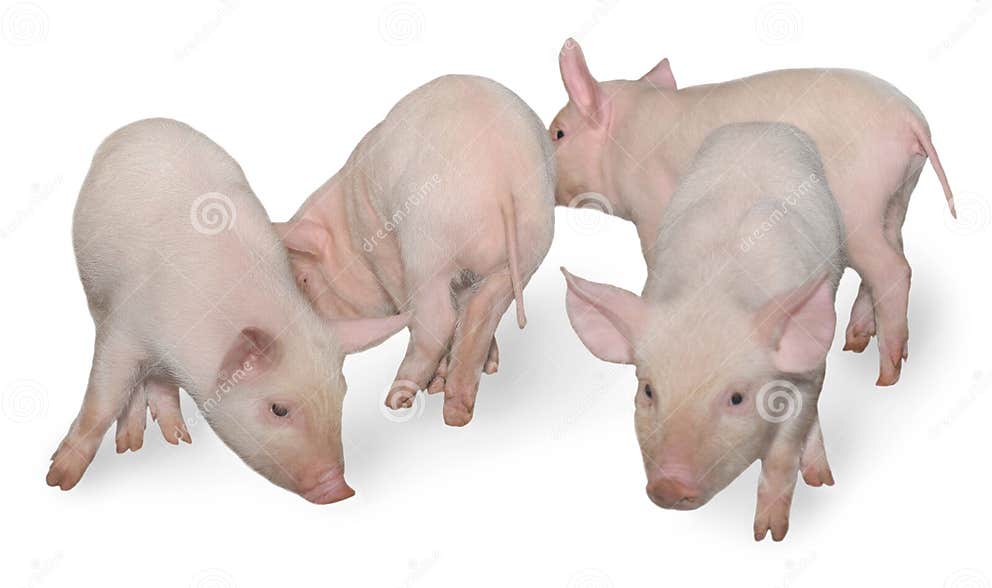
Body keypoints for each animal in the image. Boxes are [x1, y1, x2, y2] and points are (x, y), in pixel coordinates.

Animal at [47, 118, 407, 503]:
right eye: (278, 409)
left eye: (341, 396)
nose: (341, 490)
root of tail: (140, 124)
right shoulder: (124, 327)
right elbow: (102, 400)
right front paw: (58, 480)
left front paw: (177, 440)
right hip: (93, 290)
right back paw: (131, 445)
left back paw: (176, 438)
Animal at [275, 75, 555, 426]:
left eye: (304, 280)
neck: (347, 225)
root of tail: (503, 178)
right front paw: (488, 365)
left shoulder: (377, 237)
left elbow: (405, 299)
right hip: (531, 243)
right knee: (481, 311)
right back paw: (456, 413)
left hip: (427, 245)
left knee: (438, 318)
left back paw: (398, 399)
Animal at [549, 38, 954, 388]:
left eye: (558, 134)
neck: (621, 141)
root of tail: (910, 120)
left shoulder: (651, 210)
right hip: (897, 195)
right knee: (895, 248)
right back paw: (854, 343)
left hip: (859, 205)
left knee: (893, 269)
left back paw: (885, 376)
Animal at [562, 122, 844, 541]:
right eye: (648, 391)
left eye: (737, 398)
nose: (668, 485)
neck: (716, 293)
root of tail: (759, 124)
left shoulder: (810, 375)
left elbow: (783, 452)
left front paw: (769, 534)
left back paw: (822, 480)